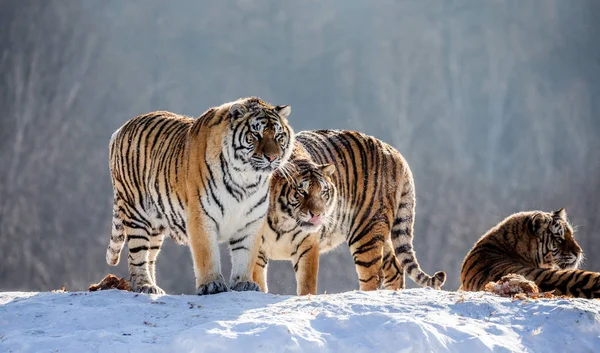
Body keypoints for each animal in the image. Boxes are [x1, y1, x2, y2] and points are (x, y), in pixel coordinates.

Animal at [108, 96, 298, 294]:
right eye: (255, 134)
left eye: (278, 136)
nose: (272, 157)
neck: (246, 180)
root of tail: (122, 128)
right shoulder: (201, 216)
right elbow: (207, 254)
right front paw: (212, 284)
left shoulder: (251, 221)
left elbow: (245, 255)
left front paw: (244, 283)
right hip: (136, 213)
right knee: (137, 255)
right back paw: (144, 286)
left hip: (156, 224)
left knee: (150, 256)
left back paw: (155, 286)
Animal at [252, 129, 446, 294]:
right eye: (302, 192)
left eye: (323, 192)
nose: (317, 214)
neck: (283, 221)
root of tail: (395, 152)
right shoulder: (257, 247)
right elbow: (257, 280)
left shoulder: (307, 246)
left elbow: (306, 284)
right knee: (395, 269)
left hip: (367, 232)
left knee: (373, 275)